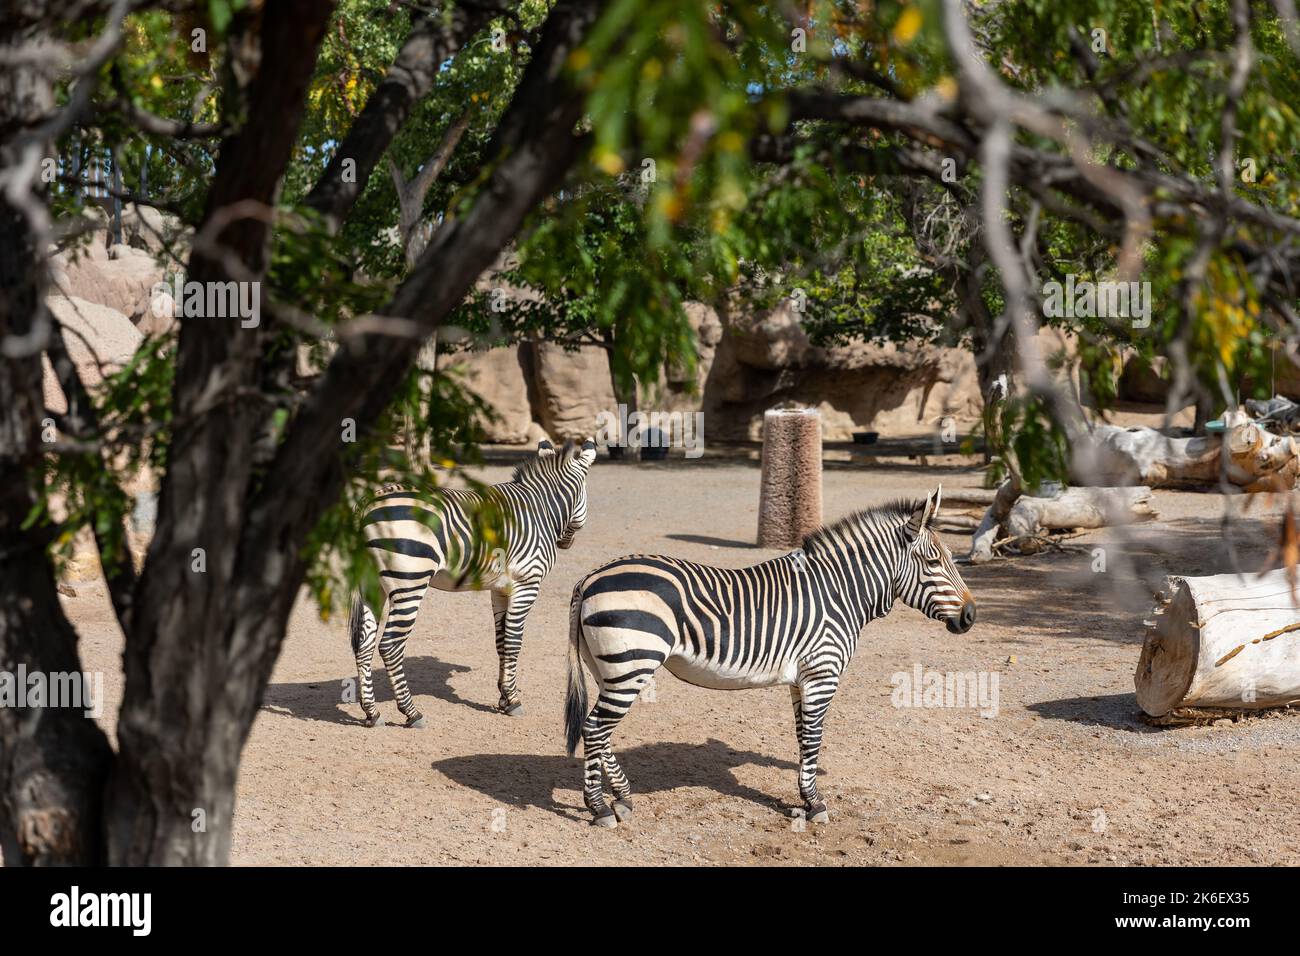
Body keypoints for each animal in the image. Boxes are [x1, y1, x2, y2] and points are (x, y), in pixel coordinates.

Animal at [349, 439, 596, 728]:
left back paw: (372, 713)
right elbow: (514, 640)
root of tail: (369, 503)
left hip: (372, 584)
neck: (540, 509)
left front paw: (503, 698)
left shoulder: (500, 589)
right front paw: (513, 700)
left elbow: (501, 641)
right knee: (390, 646)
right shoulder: (527, 582)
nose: (565, 542)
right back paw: (412, 713)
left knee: (363, 643)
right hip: (410, 582)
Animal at [563, 487, 975, 827]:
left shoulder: (801, 679)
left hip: (610, 669)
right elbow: (814, 739)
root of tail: (589, 578)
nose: (972, 616)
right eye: (934, 563)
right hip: (631, 664)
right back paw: (599, 808)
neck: (838, 592)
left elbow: (802, 736)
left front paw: (806, 798)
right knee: (594, 728)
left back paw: (623, 799)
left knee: (600, 731)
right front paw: (816, 804)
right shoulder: (822, 674)